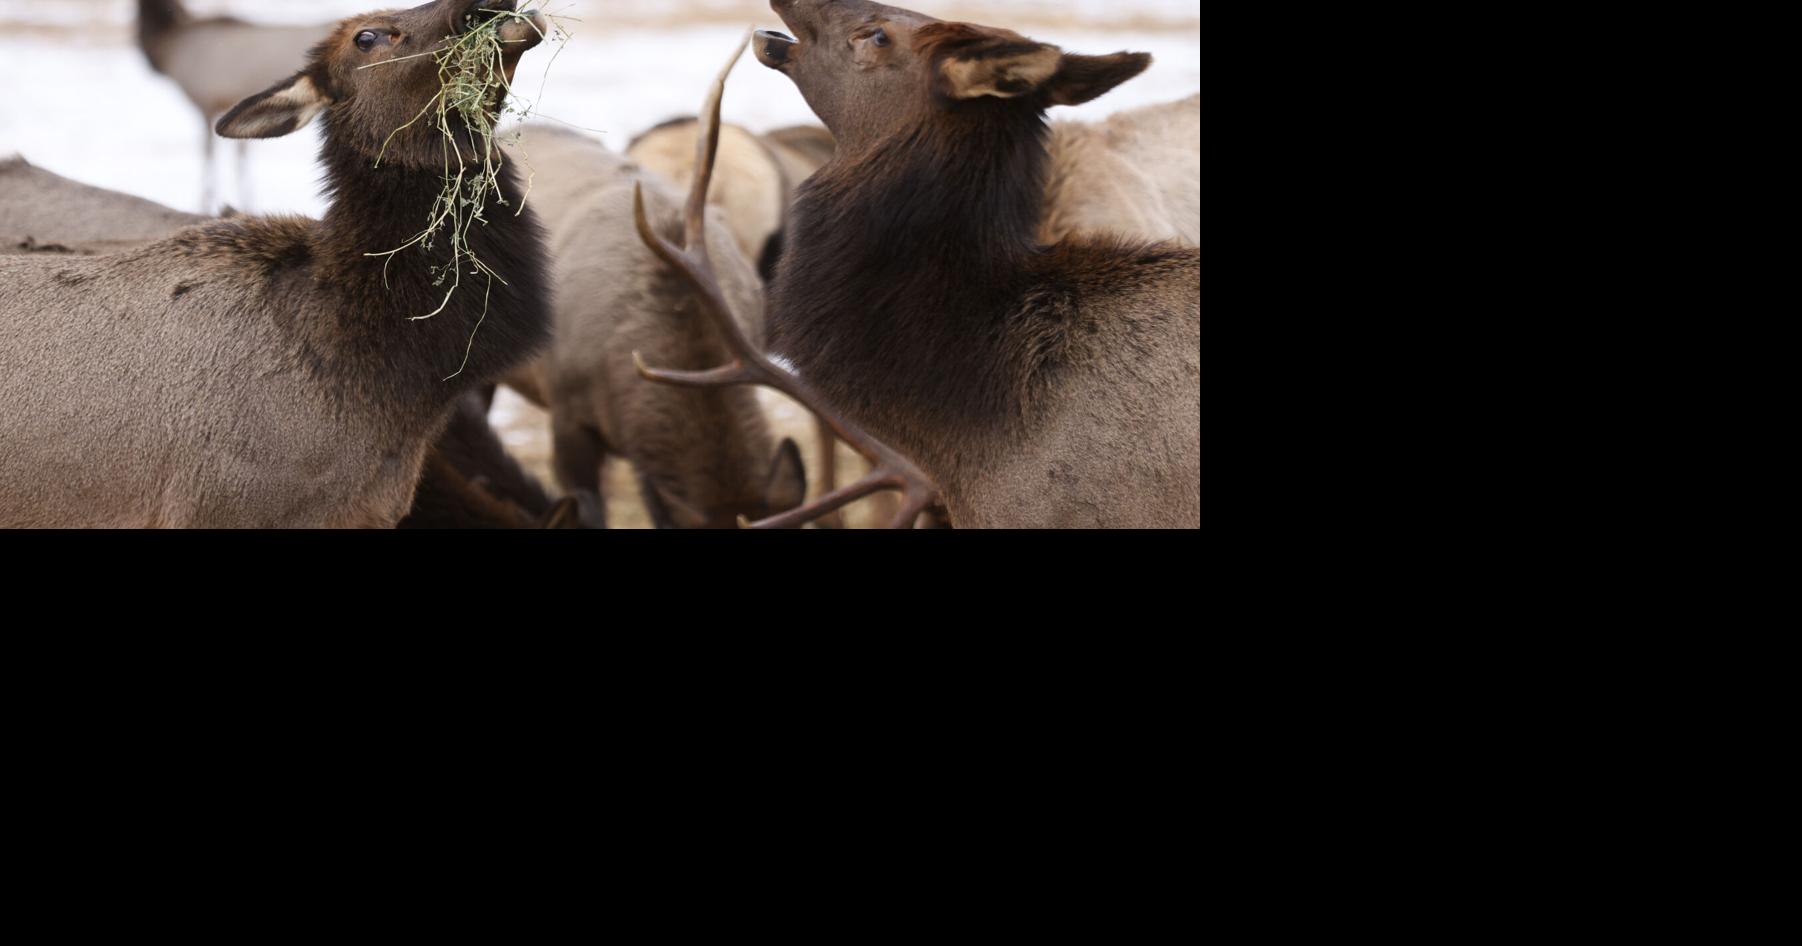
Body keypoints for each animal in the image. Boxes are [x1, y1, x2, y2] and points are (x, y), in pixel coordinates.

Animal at [136, 0, 332, 213]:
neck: (170, 45)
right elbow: (238, 157)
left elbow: (209, 154)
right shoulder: (231, 103)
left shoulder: (205, 102)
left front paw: (205, 203)